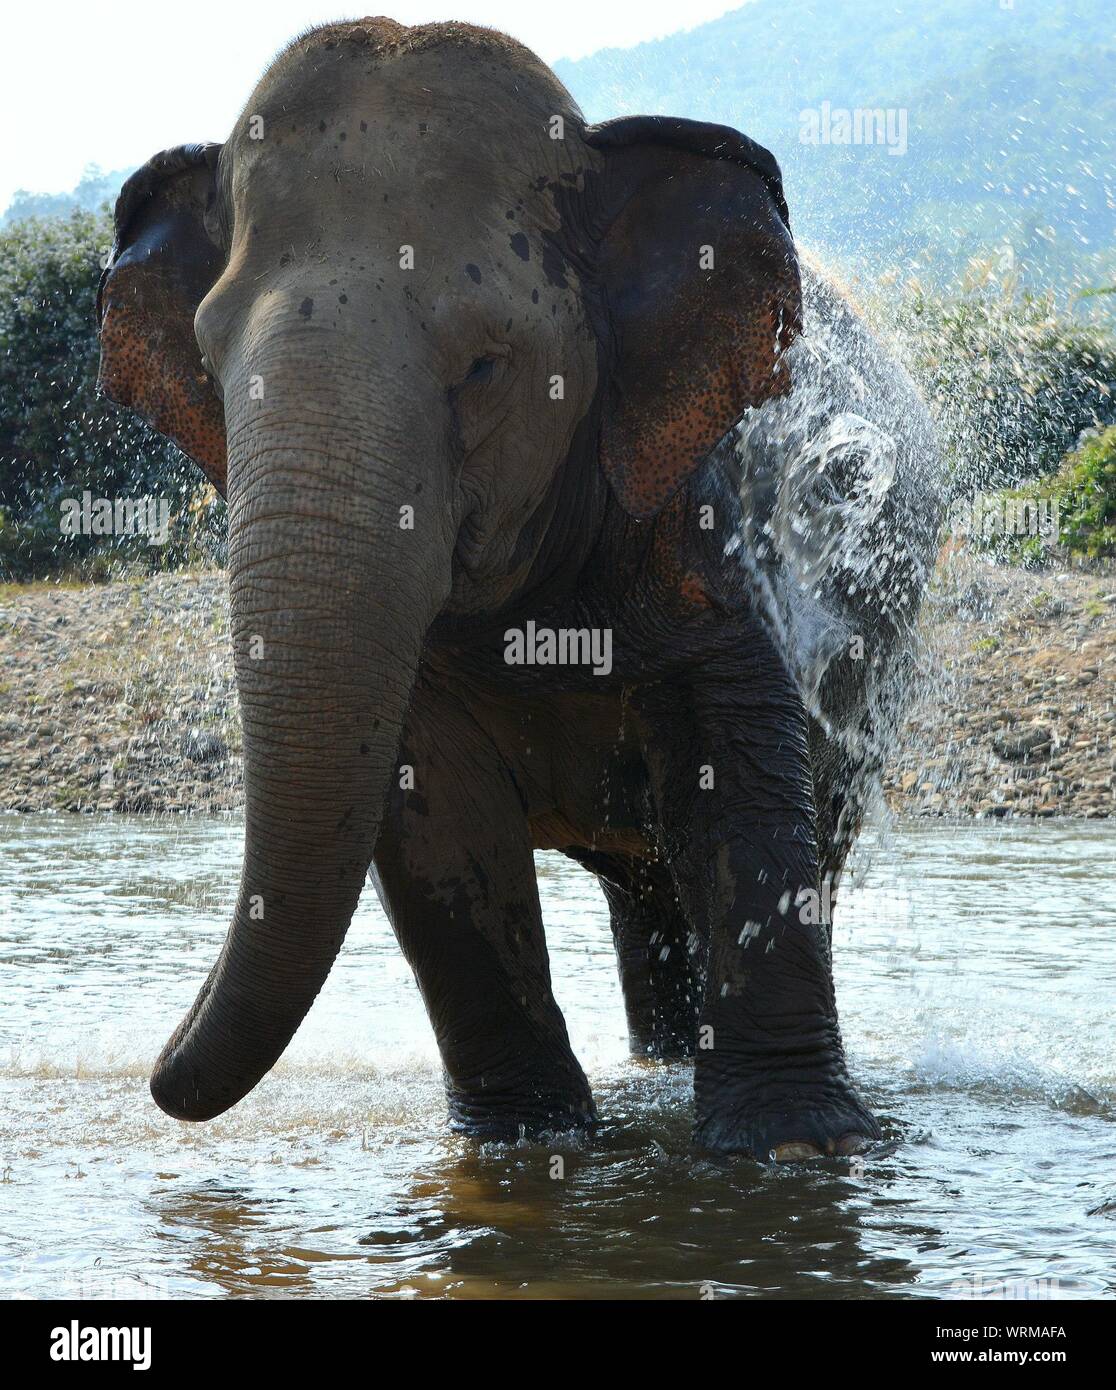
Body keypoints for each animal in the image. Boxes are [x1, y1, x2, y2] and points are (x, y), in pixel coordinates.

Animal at [96, 17, 944, 1160]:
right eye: (208, 354)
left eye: (485, 368)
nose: (152, 1077)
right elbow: (431, 807)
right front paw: (523, 1144)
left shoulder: (712, 525)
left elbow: (739, 779)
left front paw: (792, 1147)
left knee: (790, 837)